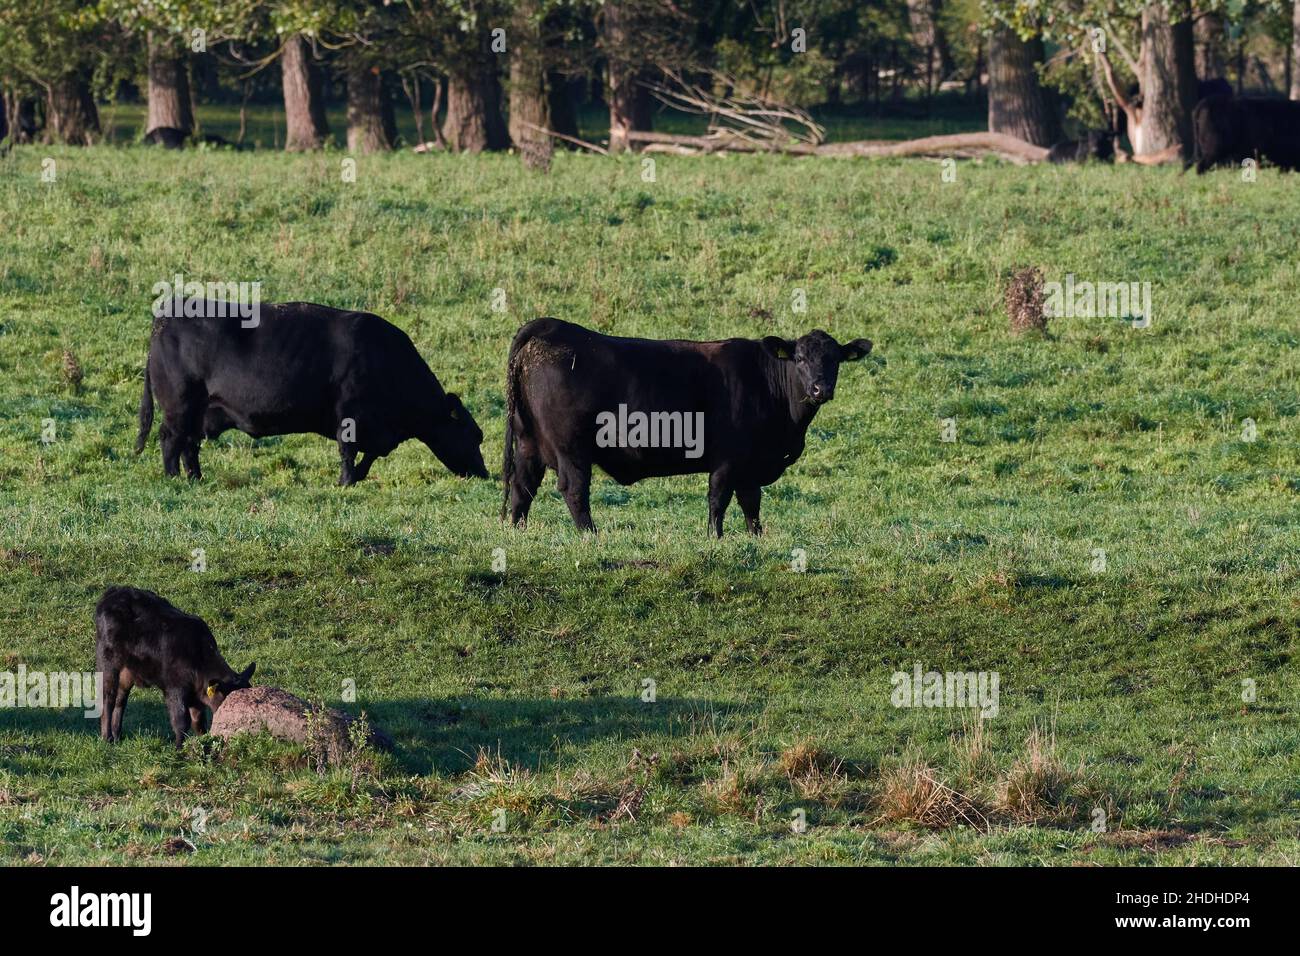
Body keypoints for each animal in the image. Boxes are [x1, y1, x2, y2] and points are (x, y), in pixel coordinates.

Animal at [95, 586, 256, 747]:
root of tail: (114, 592)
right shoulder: (174, 688)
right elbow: (181, 721)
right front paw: (179, 747)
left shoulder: (195, 694)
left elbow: (198, 721)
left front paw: (204, 740)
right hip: (108, 661)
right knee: (108, 698)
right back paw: (107, 738)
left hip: (127, 671)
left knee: (121, 699)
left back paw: (117, 736)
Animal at [136, 301, 489, 484]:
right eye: (474, 436)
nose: (484, 473)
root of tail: (165, 317)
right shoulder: (350, 416)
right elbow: (349, 452)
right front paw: (346, 481)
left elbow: (369, 456)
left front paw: (357, 477)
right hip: (180, 406)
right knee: (171, 441)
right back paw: (173, 479)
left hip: (196, 412)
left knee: (189, 445)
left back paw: (196, 478)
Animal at [501, 318, 873, 537]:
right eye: (799, 359)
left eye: (835, 360)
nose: (820, 389)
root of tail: (550, 327)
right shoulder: (728, 459)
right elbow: (719, 499)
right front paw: (715, 537)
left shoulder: (750, 464)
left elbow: (751, 502)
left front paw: (756, 536)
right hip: (571, 447)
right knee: (573, 489)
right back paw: (590, 534)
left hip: (528, 441)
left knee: (522, 486)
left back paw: (517, 531)